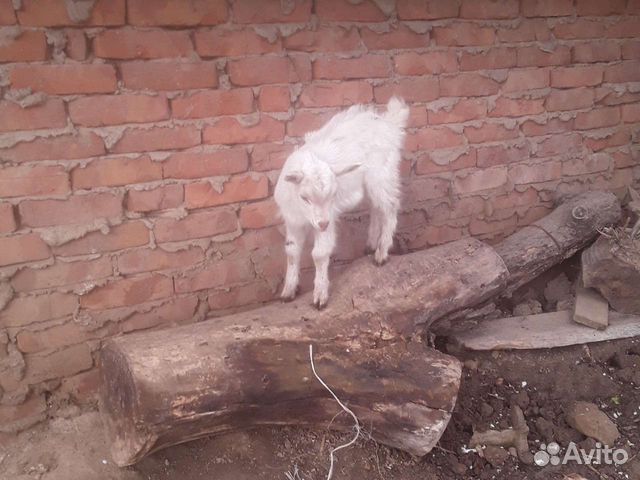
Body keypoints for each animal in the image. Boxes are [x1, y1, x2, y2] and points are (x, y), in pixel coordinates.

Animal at [274, 97, 409, 309]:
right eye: (304, 197)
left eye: (333, 195)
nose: (322, 224)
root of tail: (389, 122)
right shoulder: (293, 221)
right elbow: (291, 251)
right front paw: (288, 291)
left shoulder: (328, 219)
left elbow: (319, 254)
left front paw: (320, 296)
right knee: (376, 207)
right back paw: (371, 244)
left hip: (381, 175)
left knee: (389, 207)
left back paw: (381, 253)